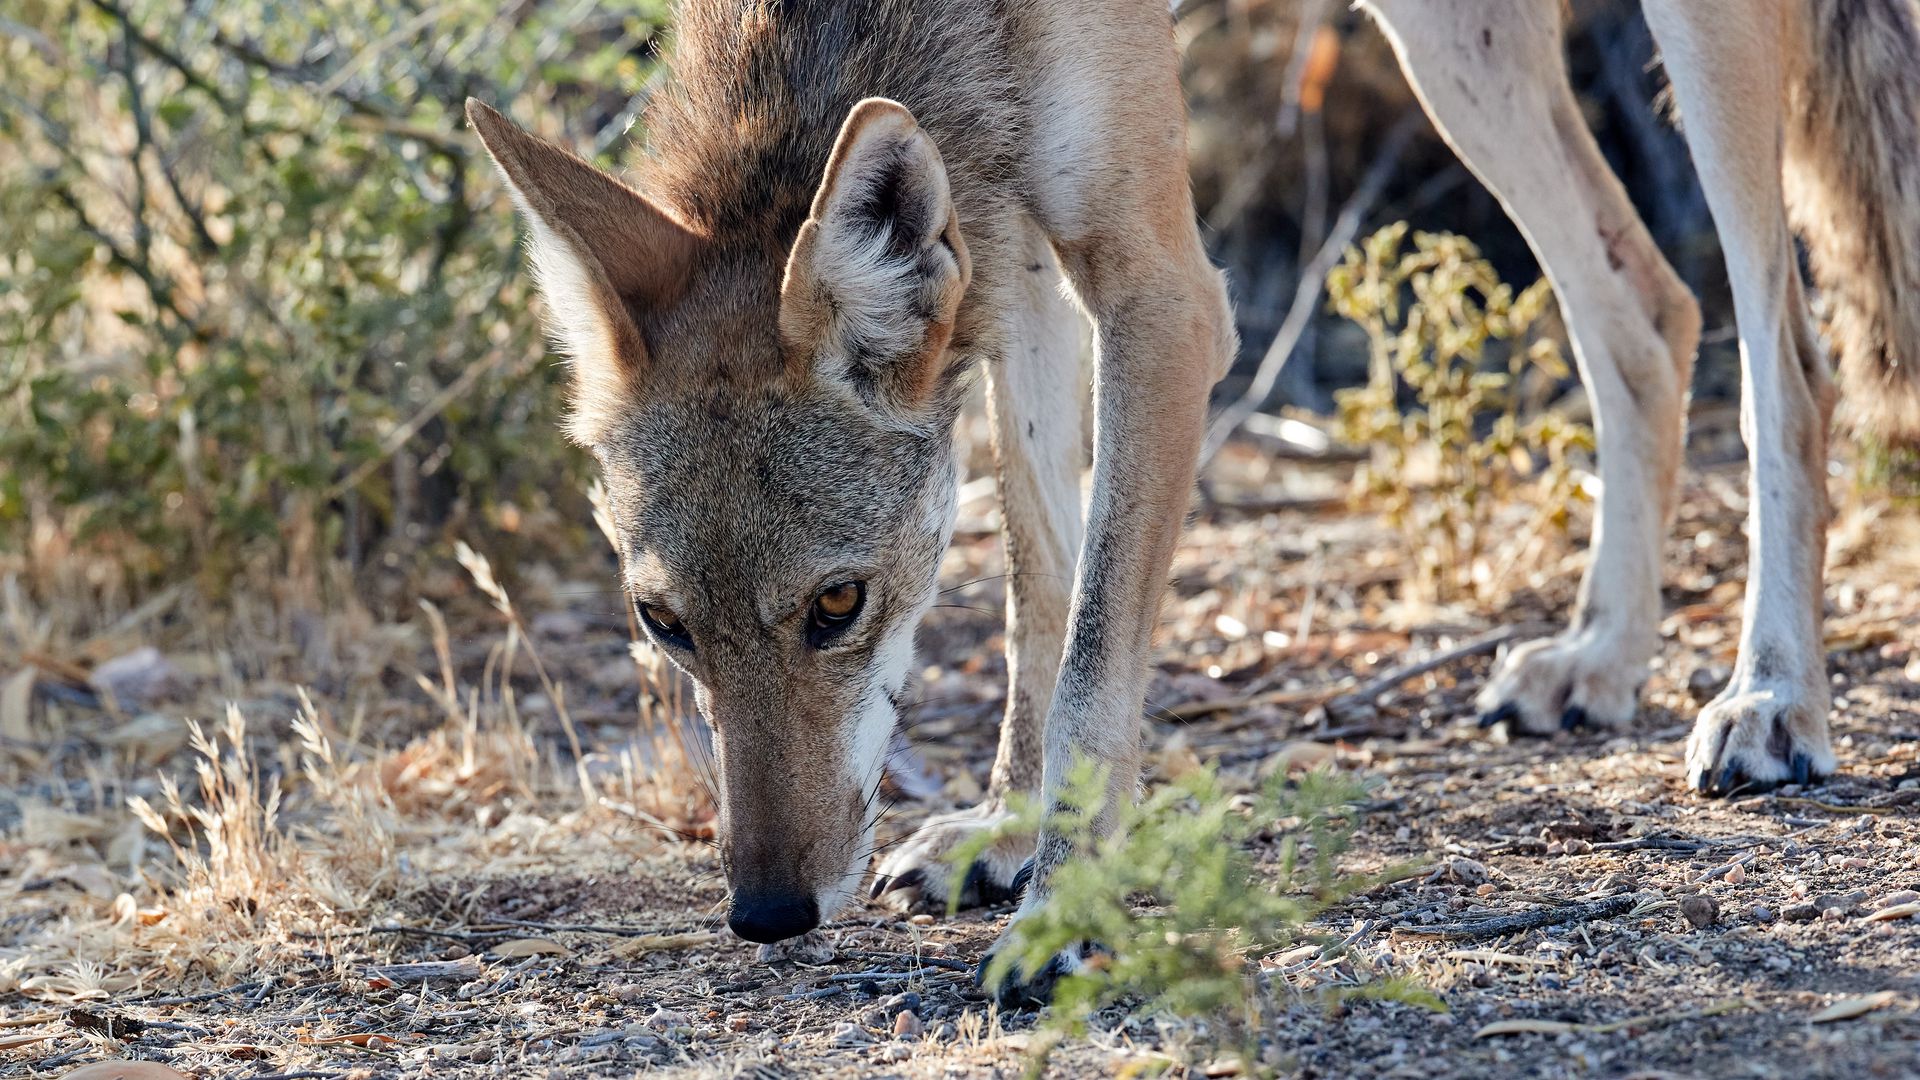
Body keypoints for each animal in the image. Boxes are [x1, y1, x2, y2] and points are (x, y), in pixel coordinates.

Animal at [466, 0, 1920, 1007]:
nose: (767, 913)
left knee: (1786, 352)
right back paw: (1604, 658)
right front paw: (1009, 836)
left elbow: (1092, 655)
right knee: (1648, 308)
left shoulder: (1161, 290)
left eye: (837, 604)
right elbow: (1041, 578)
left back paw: (1774, 701)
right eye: (662, 625)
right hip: (1448, 44)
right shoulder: (1007, 225)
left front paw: (1063, 910)